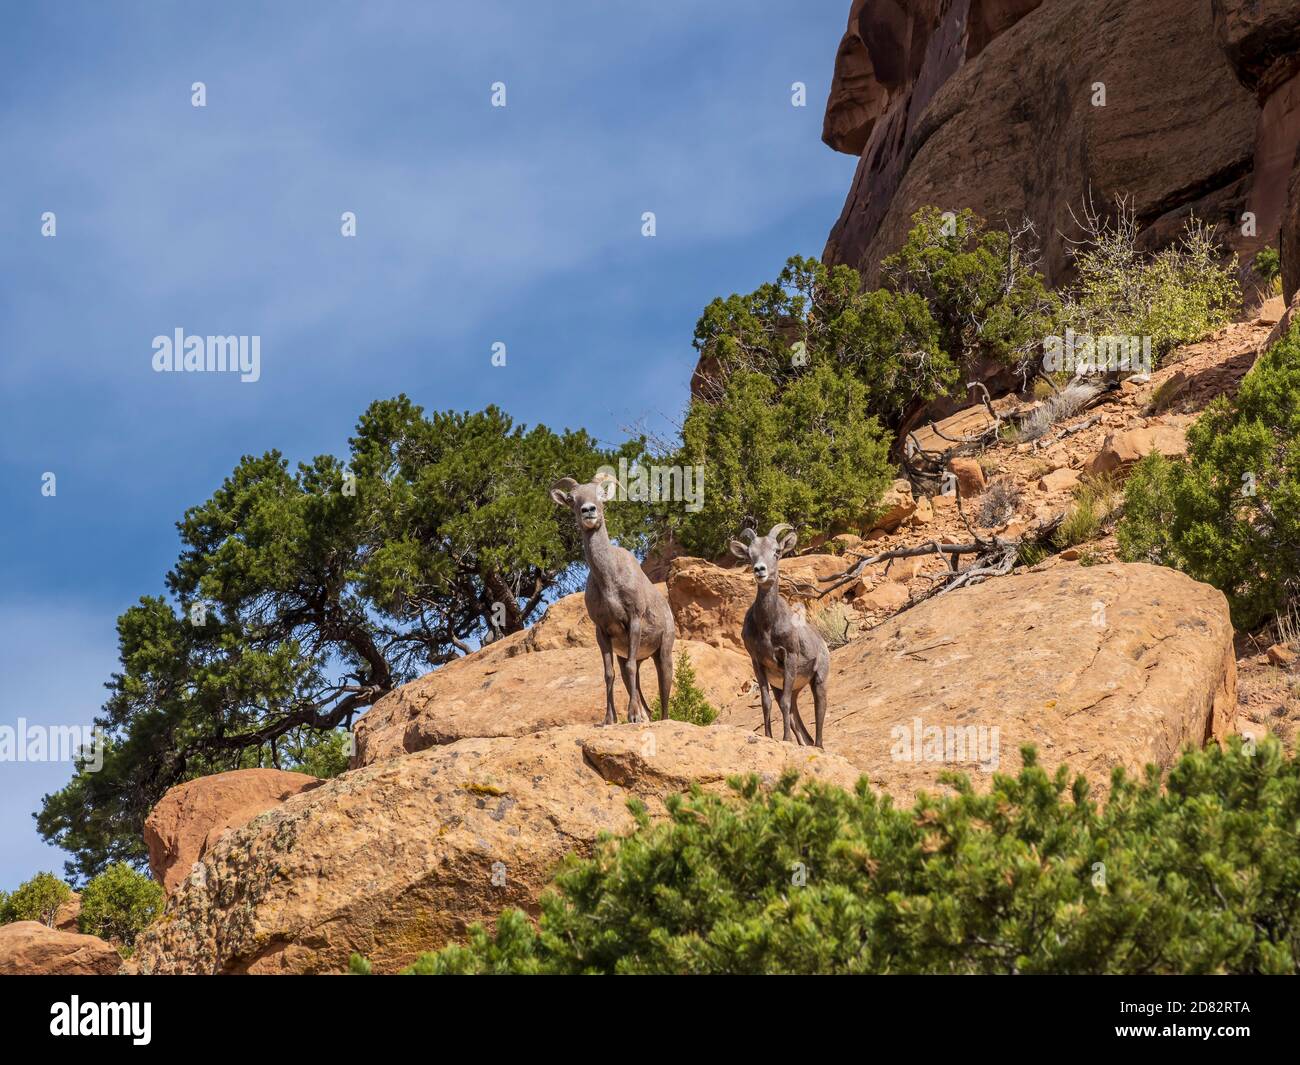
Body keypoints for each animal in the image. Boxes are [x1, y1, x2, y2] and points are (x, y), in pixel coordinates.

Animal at [550, 473, 675, 724]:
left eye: (600, 495)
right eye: (572, 499)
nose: (589, 511)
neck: (609, 582)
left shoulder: (634, 620)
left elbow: (630, 668)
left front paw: (633, 716)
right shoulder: (603, 631)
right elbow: (610, 674)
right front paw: (611, 719)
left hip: (663, 654)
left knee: (663, 692)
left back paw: (655, 718)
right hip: (631, 655)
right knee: (634, 682)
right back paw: (645, 716)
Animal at [729, 524, 829, 747]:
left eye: (776, 552)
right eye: (750, 555)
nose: (760, 570)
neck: (768, 626)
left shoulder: (789, 657)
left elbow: (783, 704)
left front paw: (785, 739)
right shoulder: (757, 662)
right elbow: (767, 703)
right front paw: (769, 736)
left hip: (818, 680)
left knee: (819, 710)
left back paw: (818, 746)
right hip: (791, 688)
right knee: (795, 715)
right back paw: (805, 744)